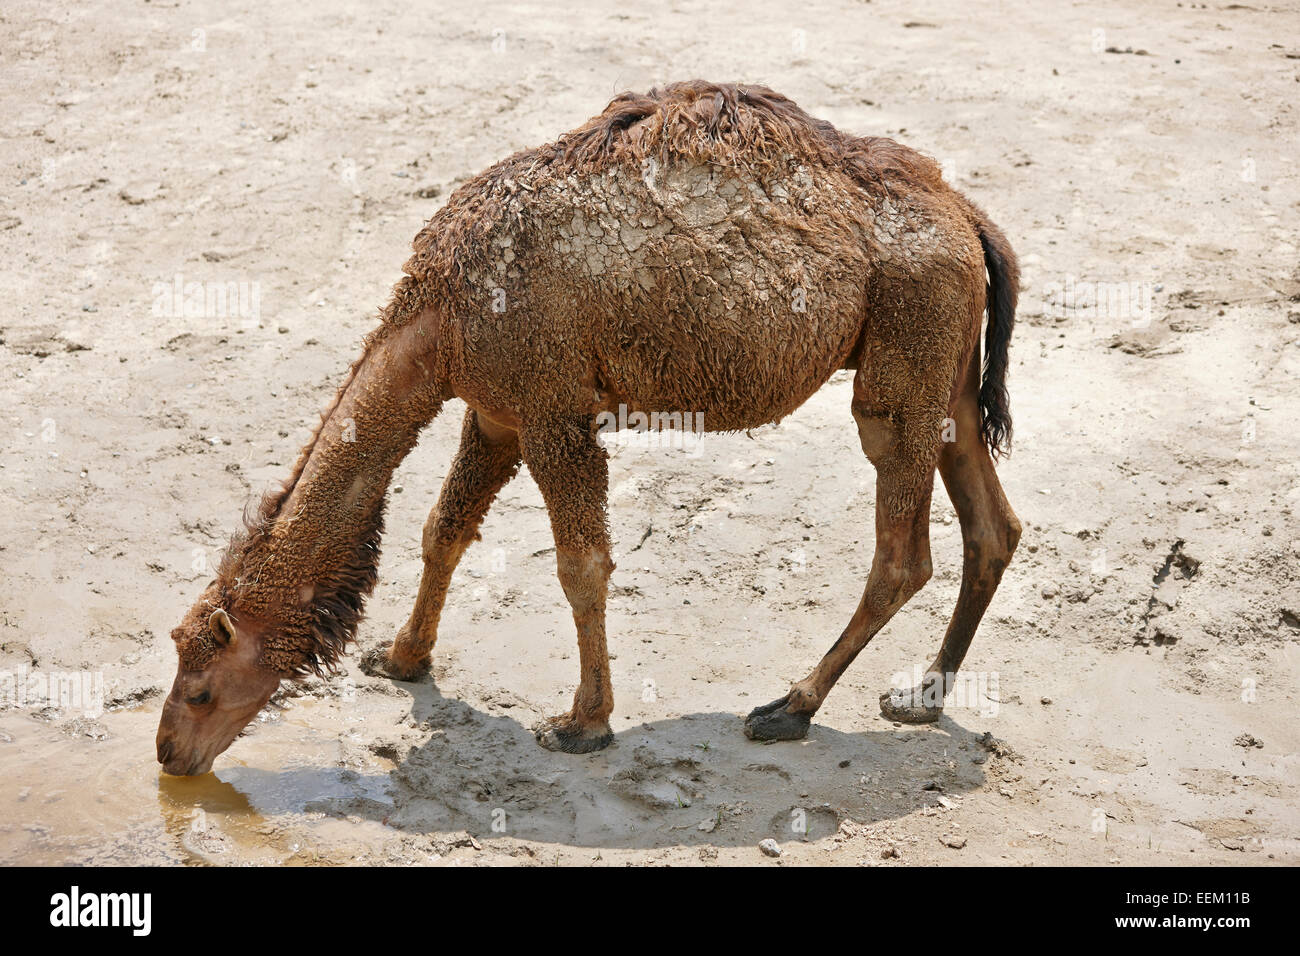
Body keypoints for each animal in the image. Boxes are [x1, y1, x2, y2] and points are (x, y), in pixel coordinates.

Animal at [156, 81, 1021, 775]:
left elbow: (581, 567)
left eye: (199, 689)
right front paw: (401, 657)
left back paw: (789, 708)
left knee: (902, 552)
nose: (167, 754)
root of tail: (967, 212)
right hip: (945, 361)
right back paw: (920, 697)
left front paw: (582, 724)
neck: (440, 319)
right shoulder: (495, 411)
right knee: (993, 524)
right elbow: (444, 529)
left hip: (906, 341)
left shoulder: (552, 411)